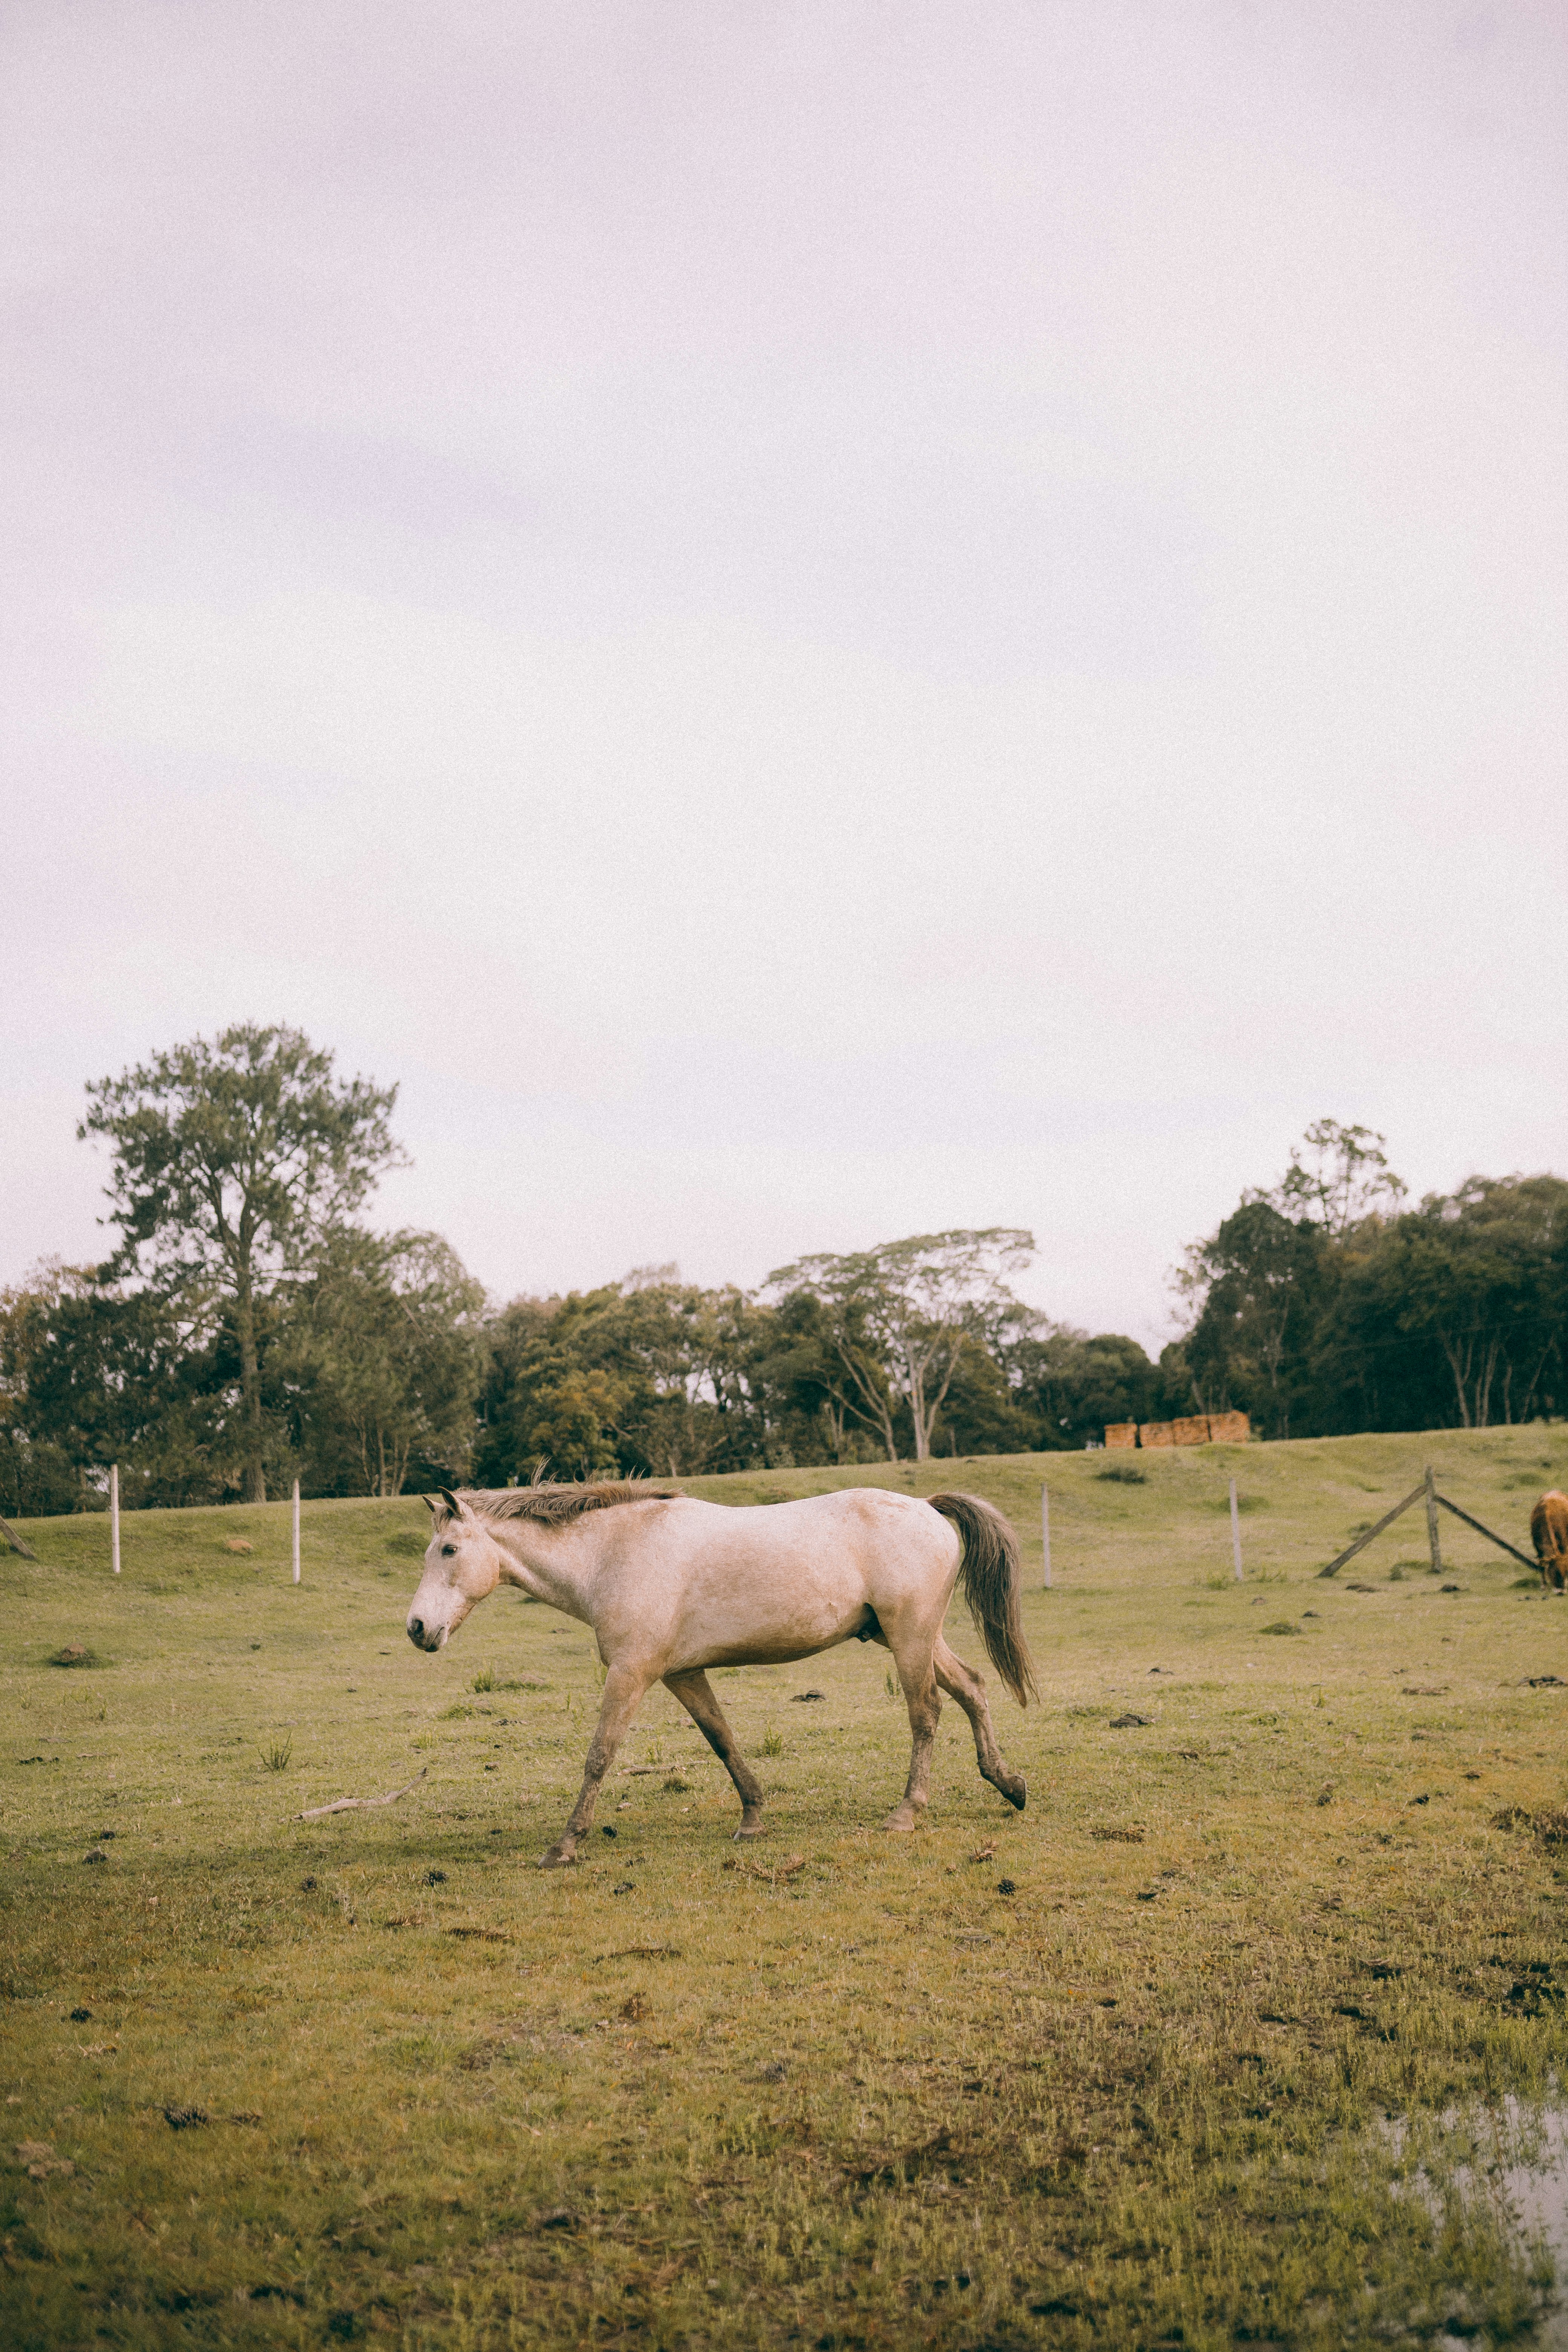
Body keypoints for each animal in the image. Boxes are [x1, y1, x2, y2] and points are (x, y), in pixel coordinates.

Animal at [405, 1480, 1037, 1868]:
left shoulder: (631, 1674)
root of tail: (928, 1507)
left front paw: (564, 1845)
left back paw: (907, 1812)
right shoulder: (683, 1675)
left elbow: (599, 1756)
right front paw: (753, 1818)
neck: (613, 1555)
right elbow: (723, 1741)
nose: (417, 1627)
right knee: (973, 1688)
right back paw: (1008, 1784)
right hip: (909, 1637)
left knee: (926, 1712)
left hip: (908, 1639)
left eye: (449, 1550)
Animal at [1532, 1491, 1568, 1592]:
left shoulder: (1564, 1543)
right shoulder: (1537, 1547)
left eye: (1566, 1572)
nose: (1561, 1592)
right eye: (1556, 1572)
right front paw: (1543, 1585)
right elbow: (1542, 1565)